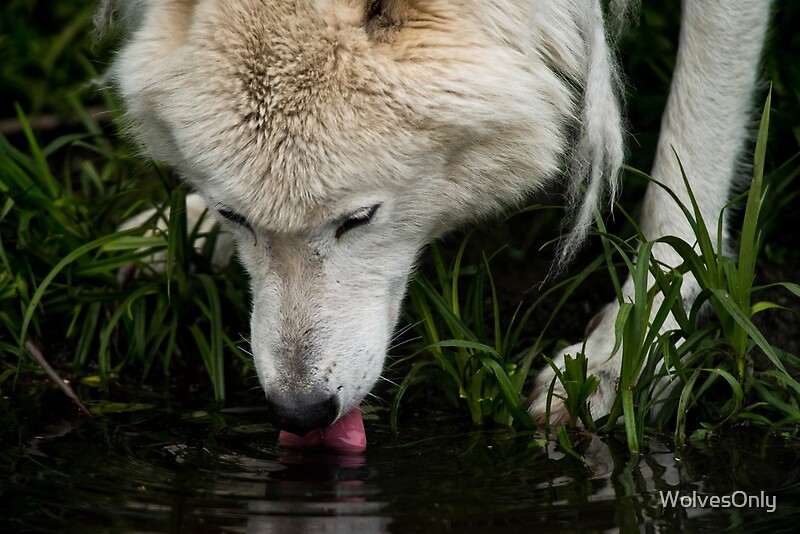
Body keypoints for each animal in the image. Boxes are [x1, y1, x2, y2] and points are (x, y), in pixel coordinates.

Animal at [96, 1, 772, 444]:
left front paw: (625, 353)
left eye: (359, 217)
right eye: (235, 215)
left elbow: (695, 130)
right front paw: (170, 233)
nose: (298, 414)